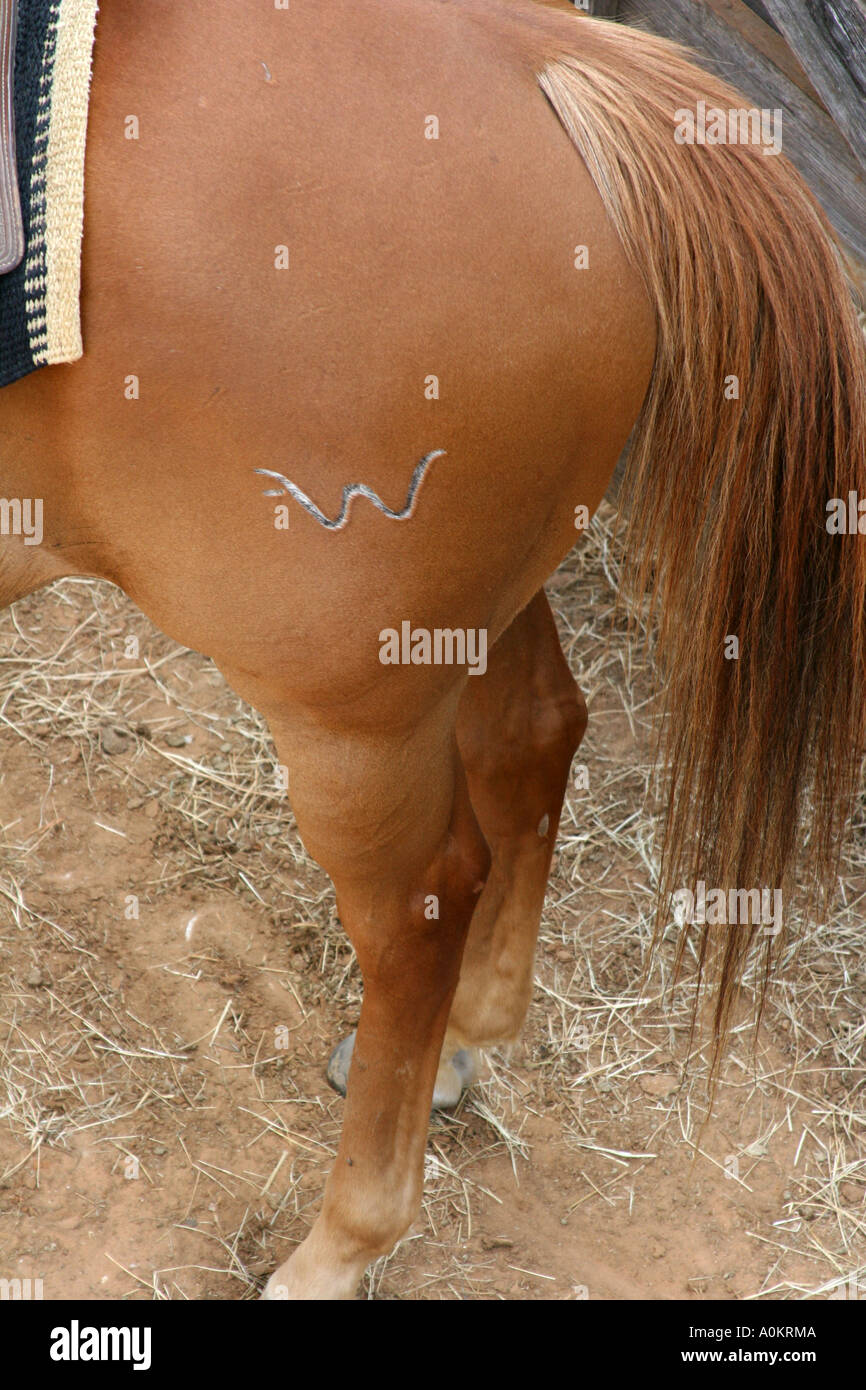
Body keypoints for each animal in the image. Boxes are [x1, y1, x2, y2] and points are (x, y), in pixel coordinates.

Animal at [1, 0, 864, 1300]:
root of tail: (536, 54)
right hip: (455, 629)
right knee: (537, 733)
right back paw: (467, 1038)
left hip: (347, 711)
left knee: (420, 904)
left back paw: (342, 1243)